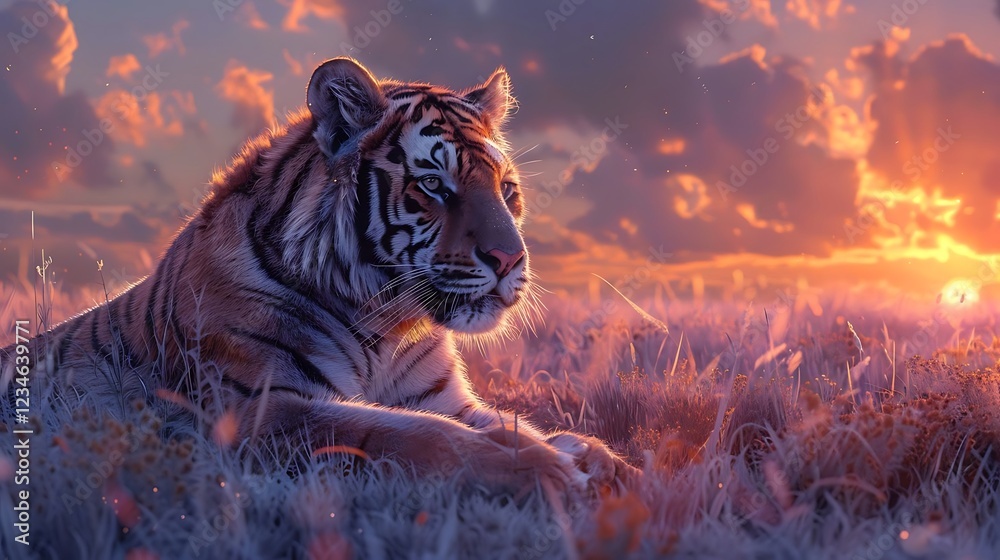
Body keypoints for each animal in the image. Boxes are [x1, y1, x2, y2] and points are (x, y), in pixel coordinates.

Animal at [1, 58, 635, 497]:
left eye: (506, 190)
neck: (388, 322)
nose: (509, 260)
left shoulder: (445, 399)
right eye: (433, 185)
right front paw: (548, 470)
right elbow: (418, 436)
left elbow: (518, 422)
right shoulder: (266, 411)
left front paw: (607, 462)